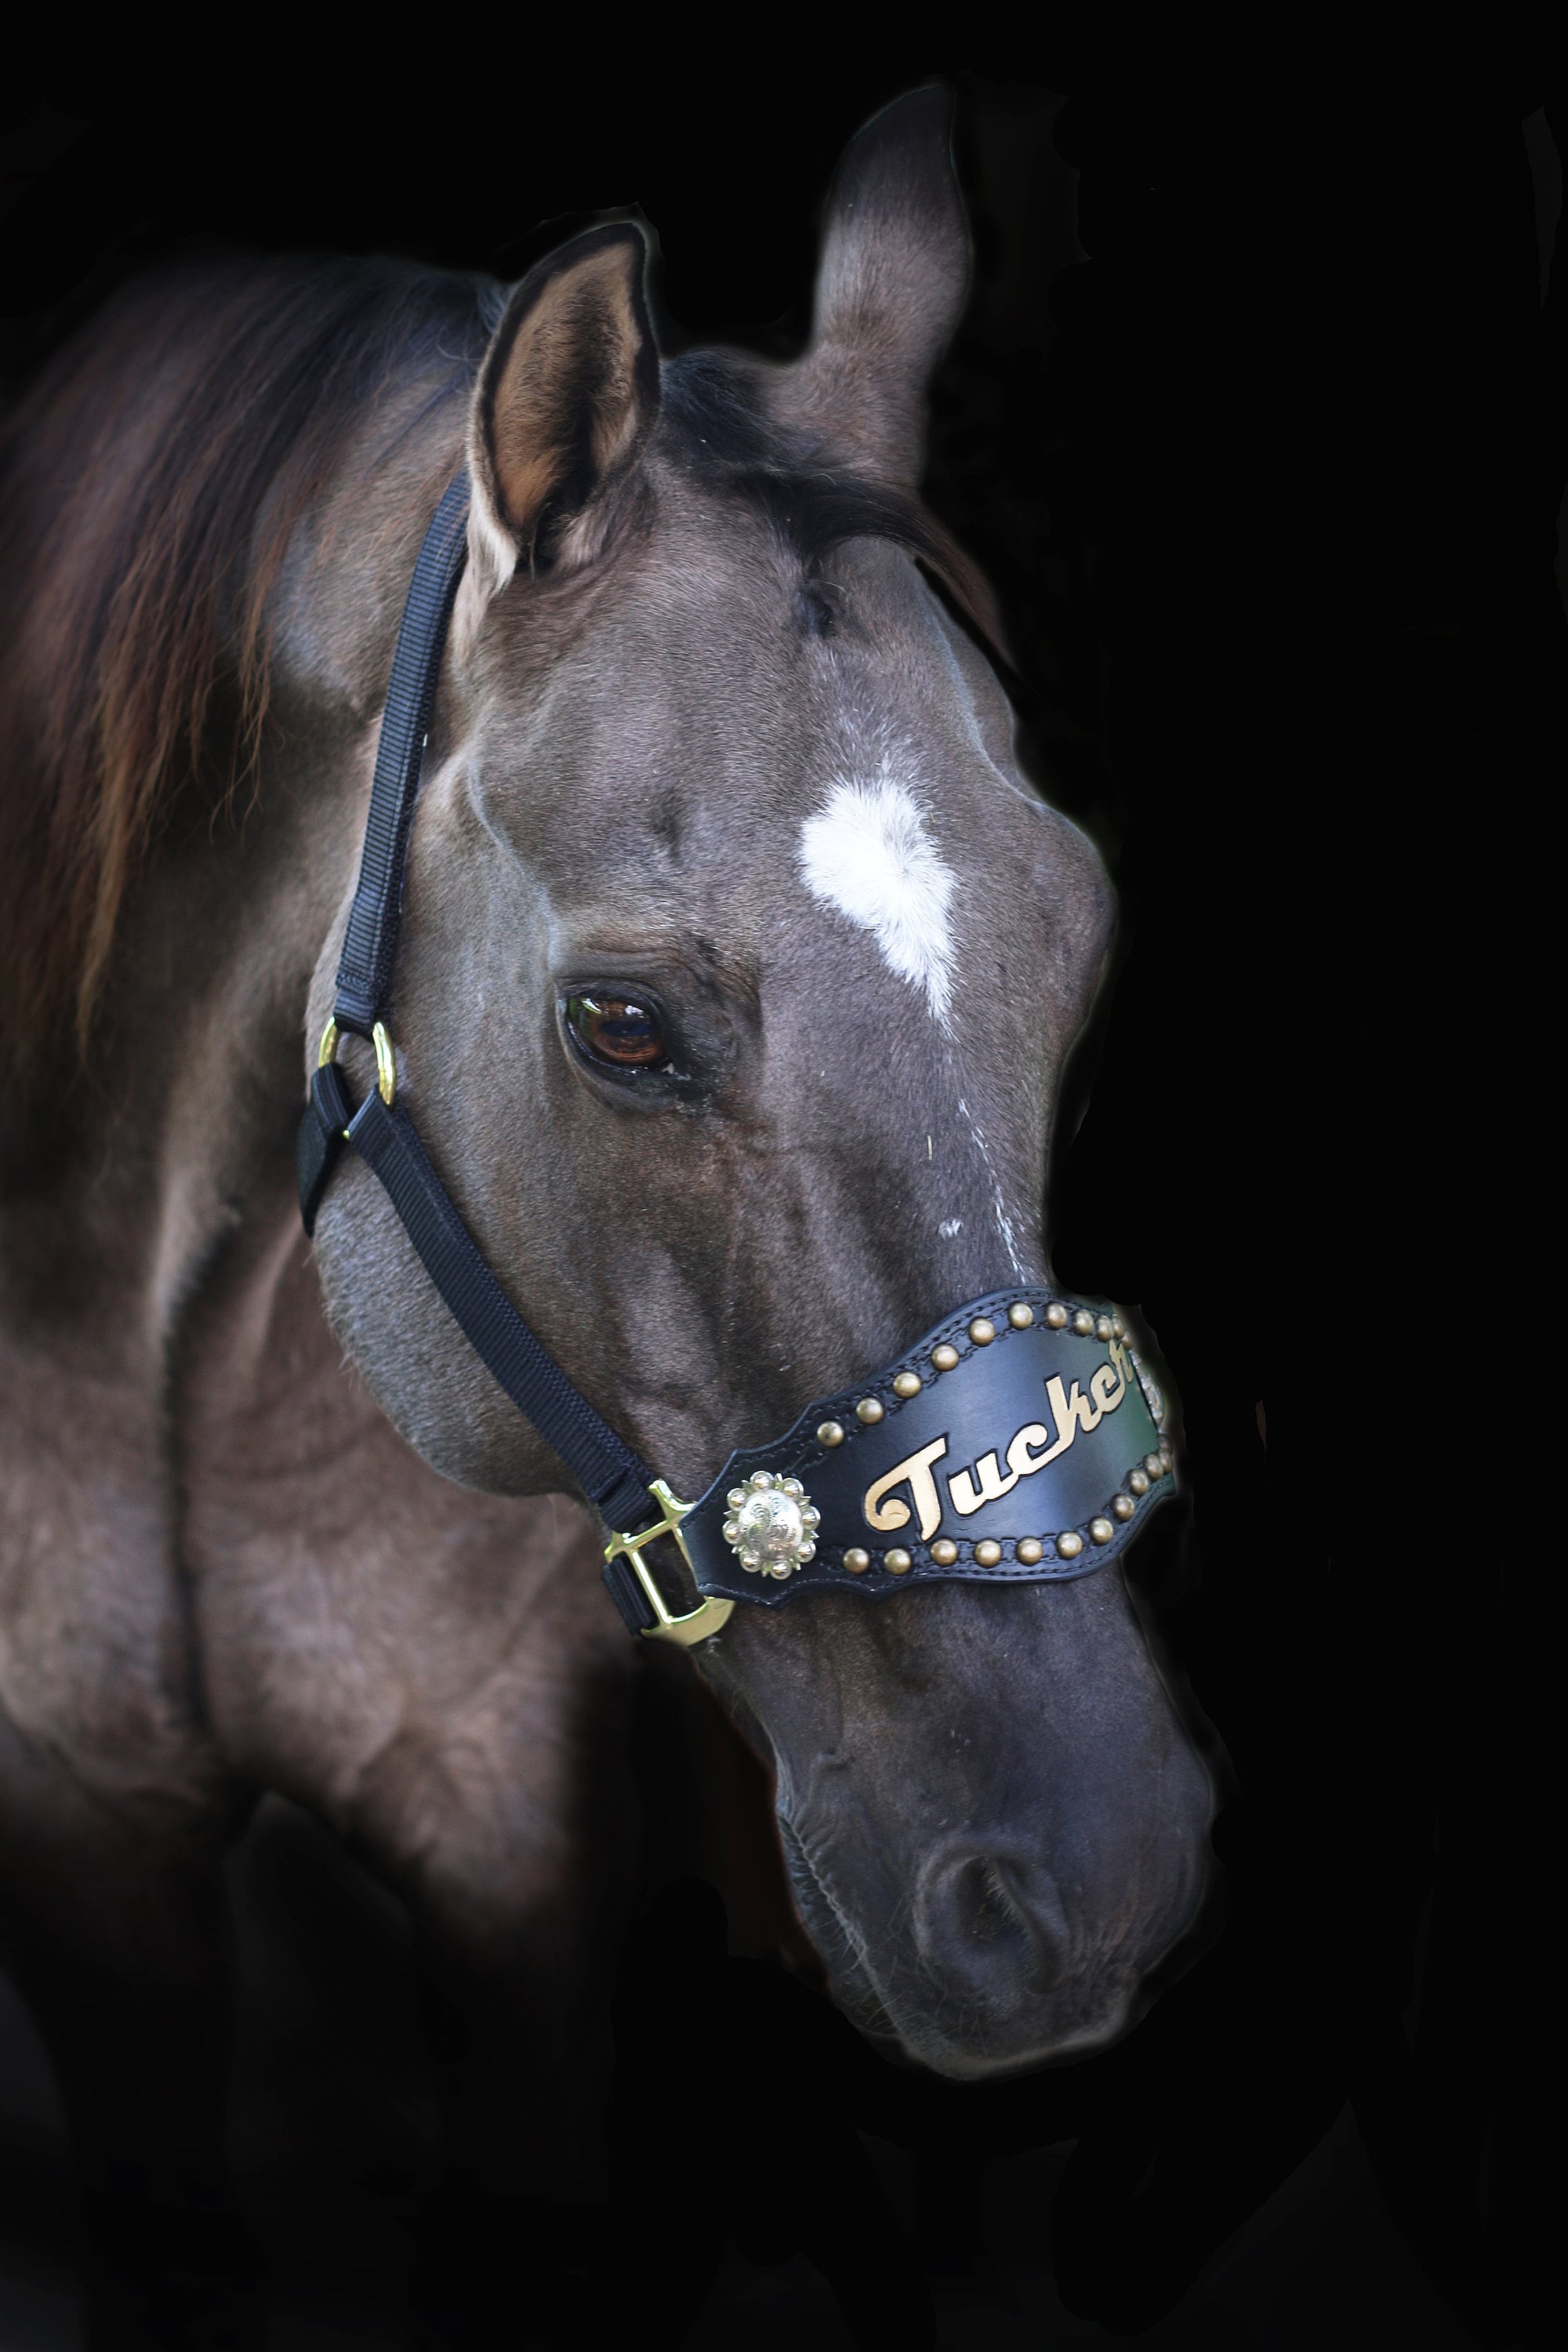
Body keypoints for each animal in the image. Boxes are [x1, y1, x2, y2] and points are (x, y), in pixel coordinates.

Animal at [0, 85, 1213, 2344]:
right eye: (622, 1027)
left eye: (1079, 938)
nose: (1088, 1881)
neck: (174, 1345)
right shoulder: (86, 1843)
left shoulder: (507, 1845)